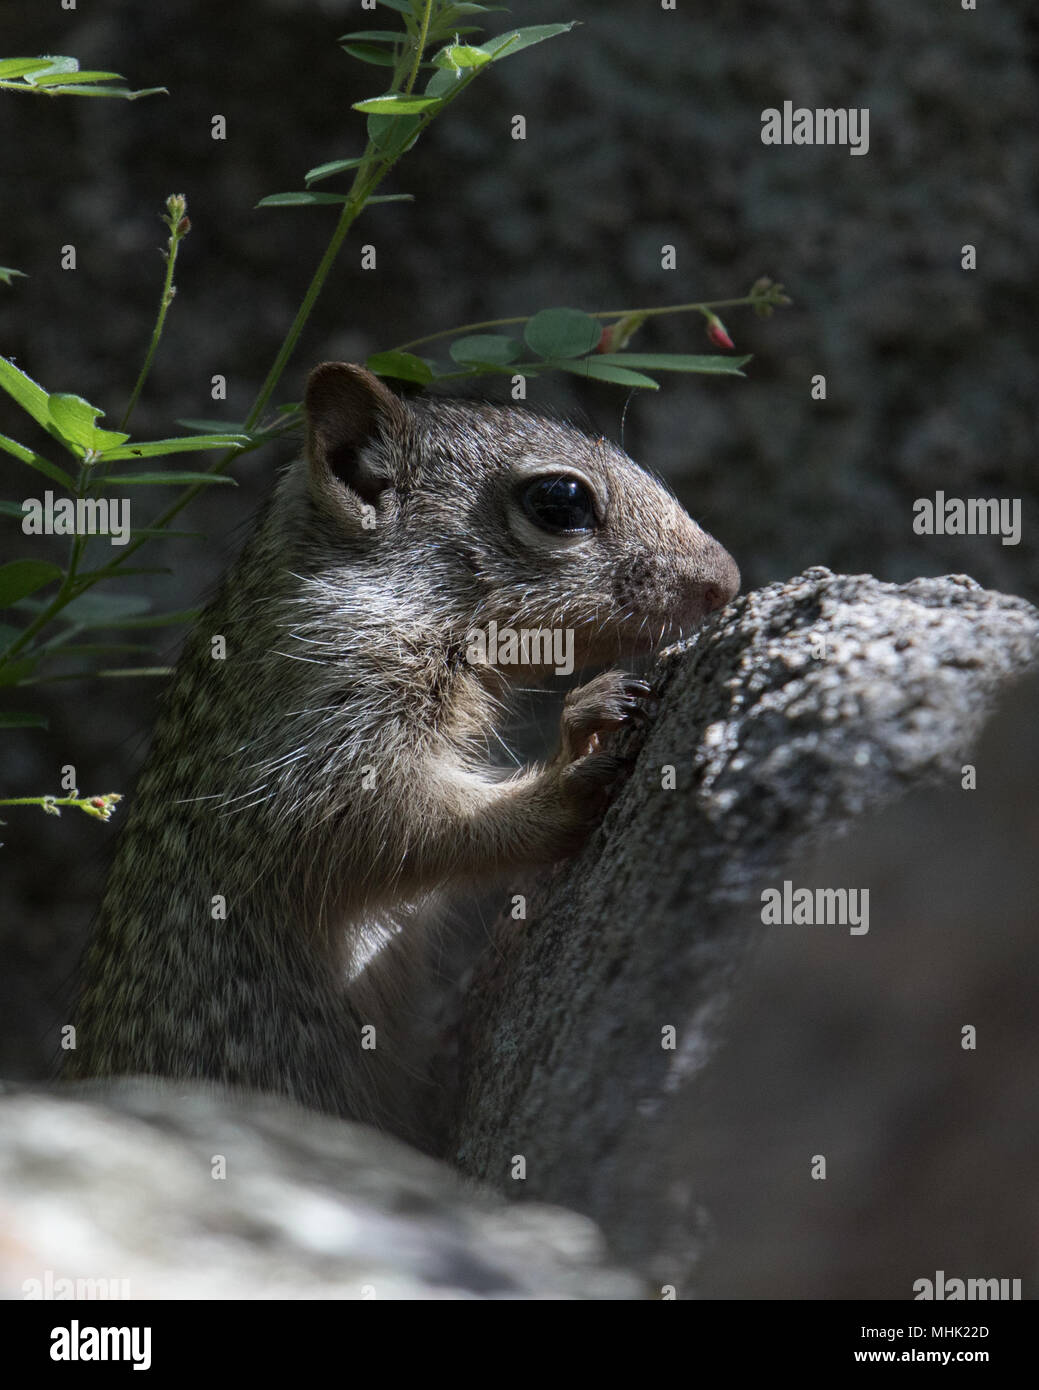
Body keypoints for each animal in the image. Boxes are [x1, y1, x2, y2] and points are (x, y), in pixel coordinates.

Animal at [65, 363, 740, 1137]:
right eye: (560, 501)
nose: (726, 578)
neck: (375, 595)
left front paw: (589, 716)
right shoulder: (321, 753)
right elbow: (406, 828)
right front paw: (569, 782)